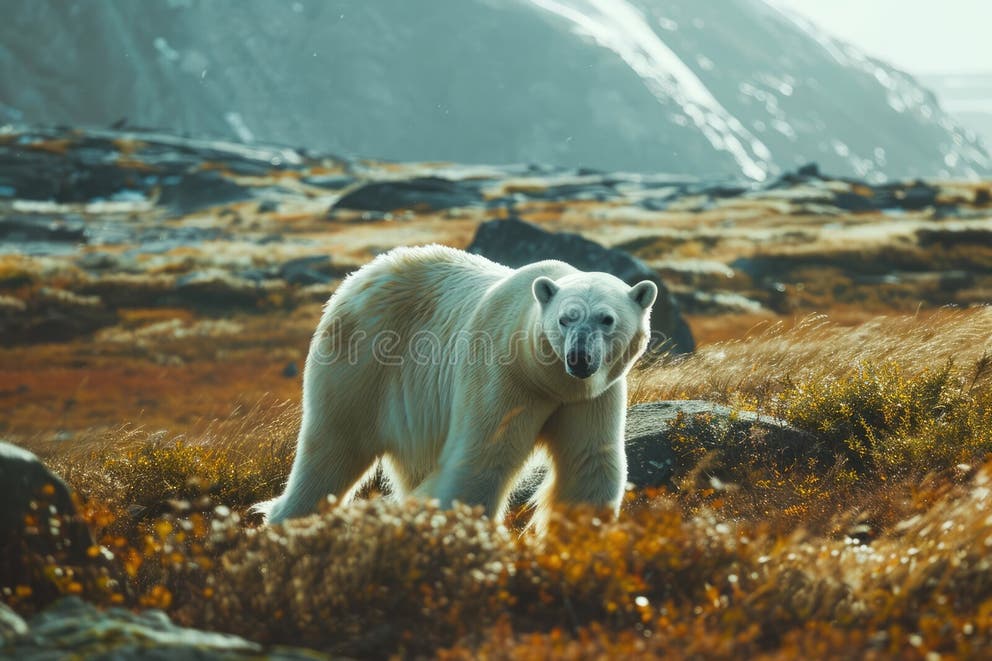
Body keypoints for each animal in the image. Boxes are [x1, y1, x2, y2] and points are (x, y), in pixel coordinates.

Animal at [258, 244, 657, 526]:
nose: (579, 357)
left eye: (606, 319)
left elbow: (589, 462)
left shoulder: (592, 396)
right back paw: (288, 520)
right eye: (565, 318)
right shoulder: (502, 376)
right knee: (333, 447)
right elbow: (481, 461)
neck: (546, 380)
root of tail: (359, 276)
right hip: (363, 364)